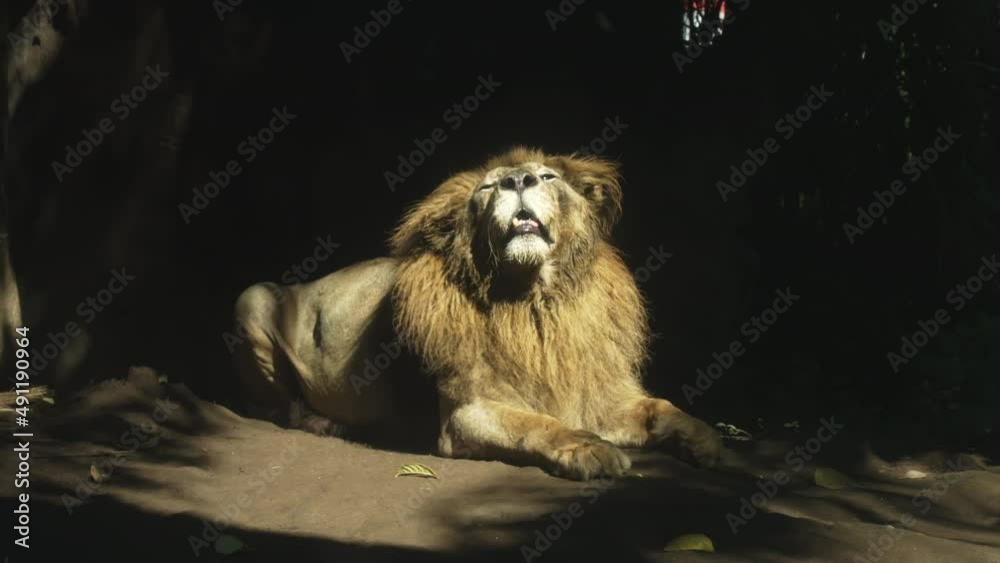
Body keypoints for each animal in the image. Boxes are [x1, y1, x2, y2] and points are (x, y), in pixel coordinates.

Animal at [233, 147, 722, 480]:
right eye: (488, 187)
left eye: (546, 176)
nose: (518, 180)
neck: (535, 302)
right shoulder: (465, 413)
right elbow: (536, 423)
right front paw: (588, 449)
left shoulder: (602, 396)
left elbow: (661, 407)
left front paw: (707, 439)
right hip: (252, 299)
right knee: (277, 407)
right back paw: (322, 422)